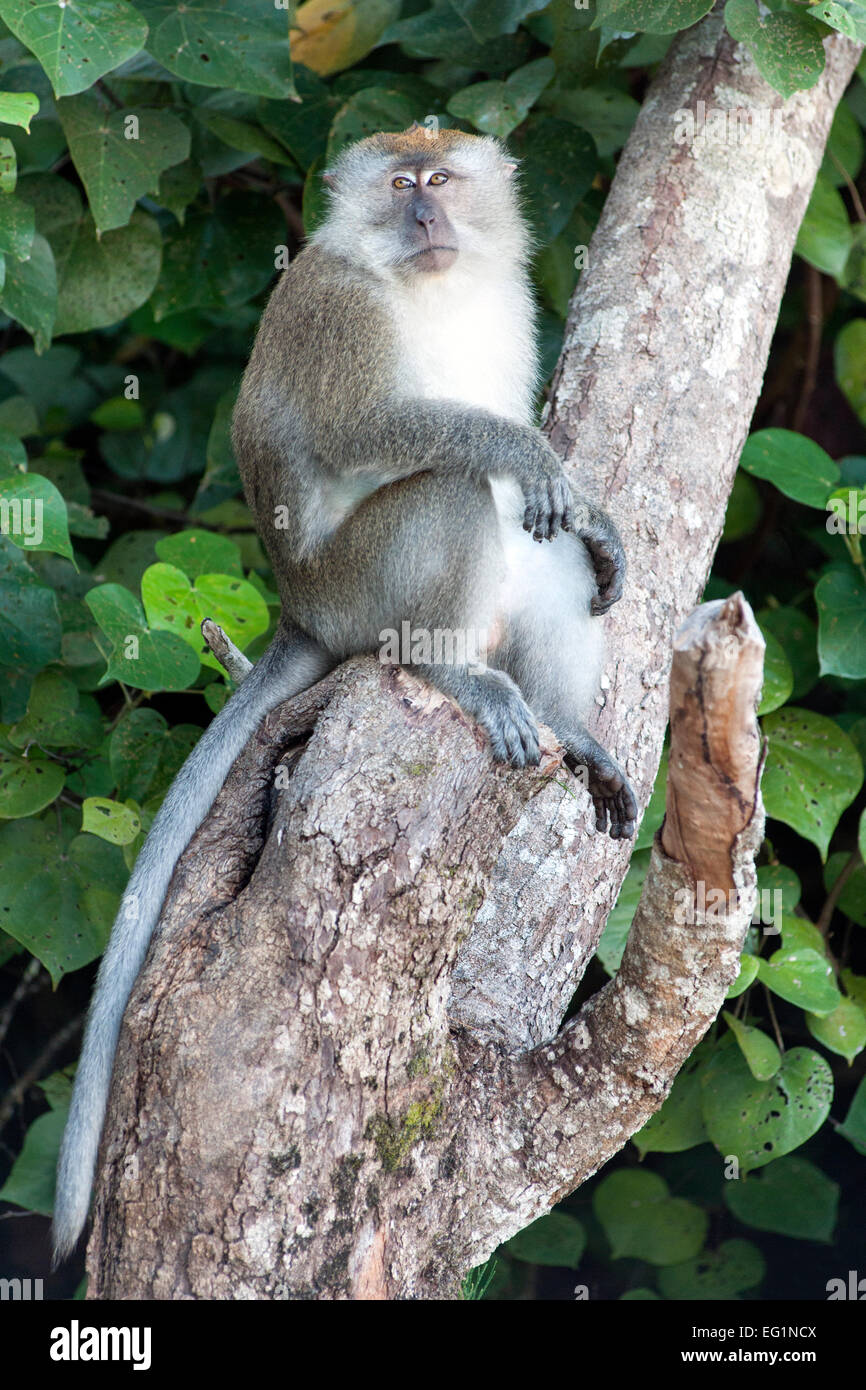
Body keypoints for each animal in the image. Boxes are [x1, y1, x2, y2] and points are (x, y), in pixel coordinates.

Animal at [52, 125, 637, 1265]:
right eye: (400, 183)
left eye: (441, 179)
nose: (425, 215)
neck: (423, 282)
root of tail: (302, 612)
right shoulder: (342, 313)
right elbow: (384, 428)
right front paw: (531, 454)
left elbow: (550, 504)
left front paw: (590, 509)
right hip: (366, 589)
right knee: (453, 490)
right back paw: (453, 670)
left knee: (536, 545)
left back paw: (569, 727)